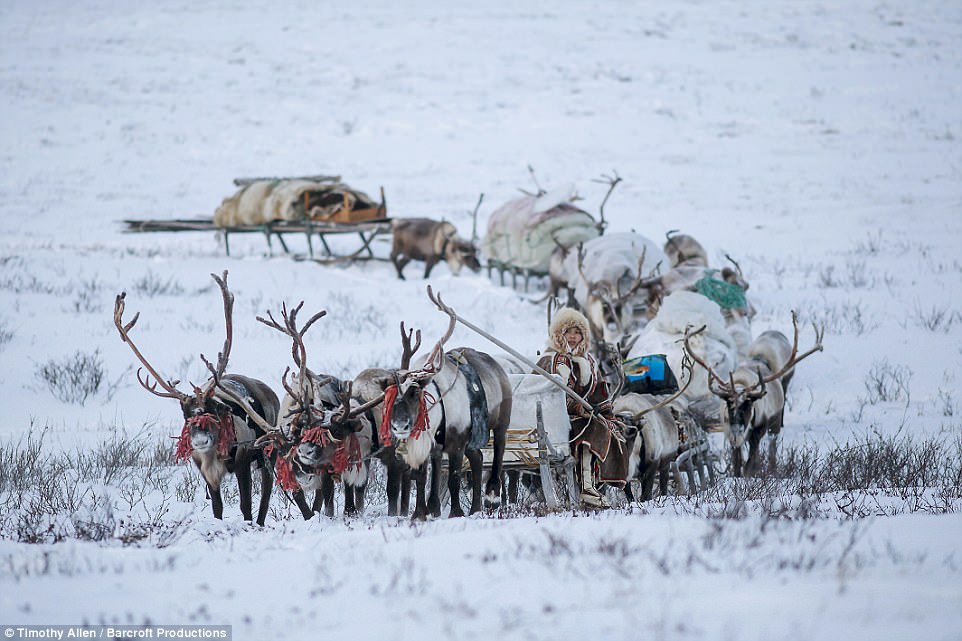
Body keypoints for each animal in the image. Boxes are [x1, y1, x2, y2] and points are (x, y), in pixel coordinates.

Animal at [113, 271, 279, 525]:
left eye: (211, 409)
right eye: (185, 416)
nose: (200, 441)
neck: (213, 455)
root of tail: (270, 391)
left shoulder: (243, 461)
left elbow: (246, 506)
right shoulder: (204, 470)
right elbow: (217, 507)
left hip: (270, 450)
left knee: (267, 492)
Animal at [254, 302, 374, 518]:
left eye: (334, 432)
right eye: (285, 450)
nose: (305, 452)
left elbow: (331, 493)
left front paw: (341, 513)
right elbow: (305, 500)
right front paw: (313, 517)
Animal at [351, 287, 512, 520]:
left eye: (415, 392)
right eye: (387, 397)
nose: (400, 426)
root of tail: (496, 364)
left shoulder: (457, 441)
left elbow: (454, 478)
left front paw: (455, 513)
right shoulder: (425, 445)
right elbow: (421, 478)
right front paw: (420, 514)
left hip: (501, 422)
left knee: (498, 451)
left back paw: (492, 496)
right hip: (470, 439)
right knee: (478, 457)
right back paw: (474, 509)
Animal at [684, 313, 824, 477]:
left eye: (747, 405)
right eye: (728, 404)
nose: (737, 428)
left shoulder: (759, 429)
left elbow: (750, 462)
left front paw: (752, 474)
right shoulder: (729, 433)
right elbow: (737, 463)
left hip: (774, 421)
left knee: (772, 445)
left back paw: (772, 469)